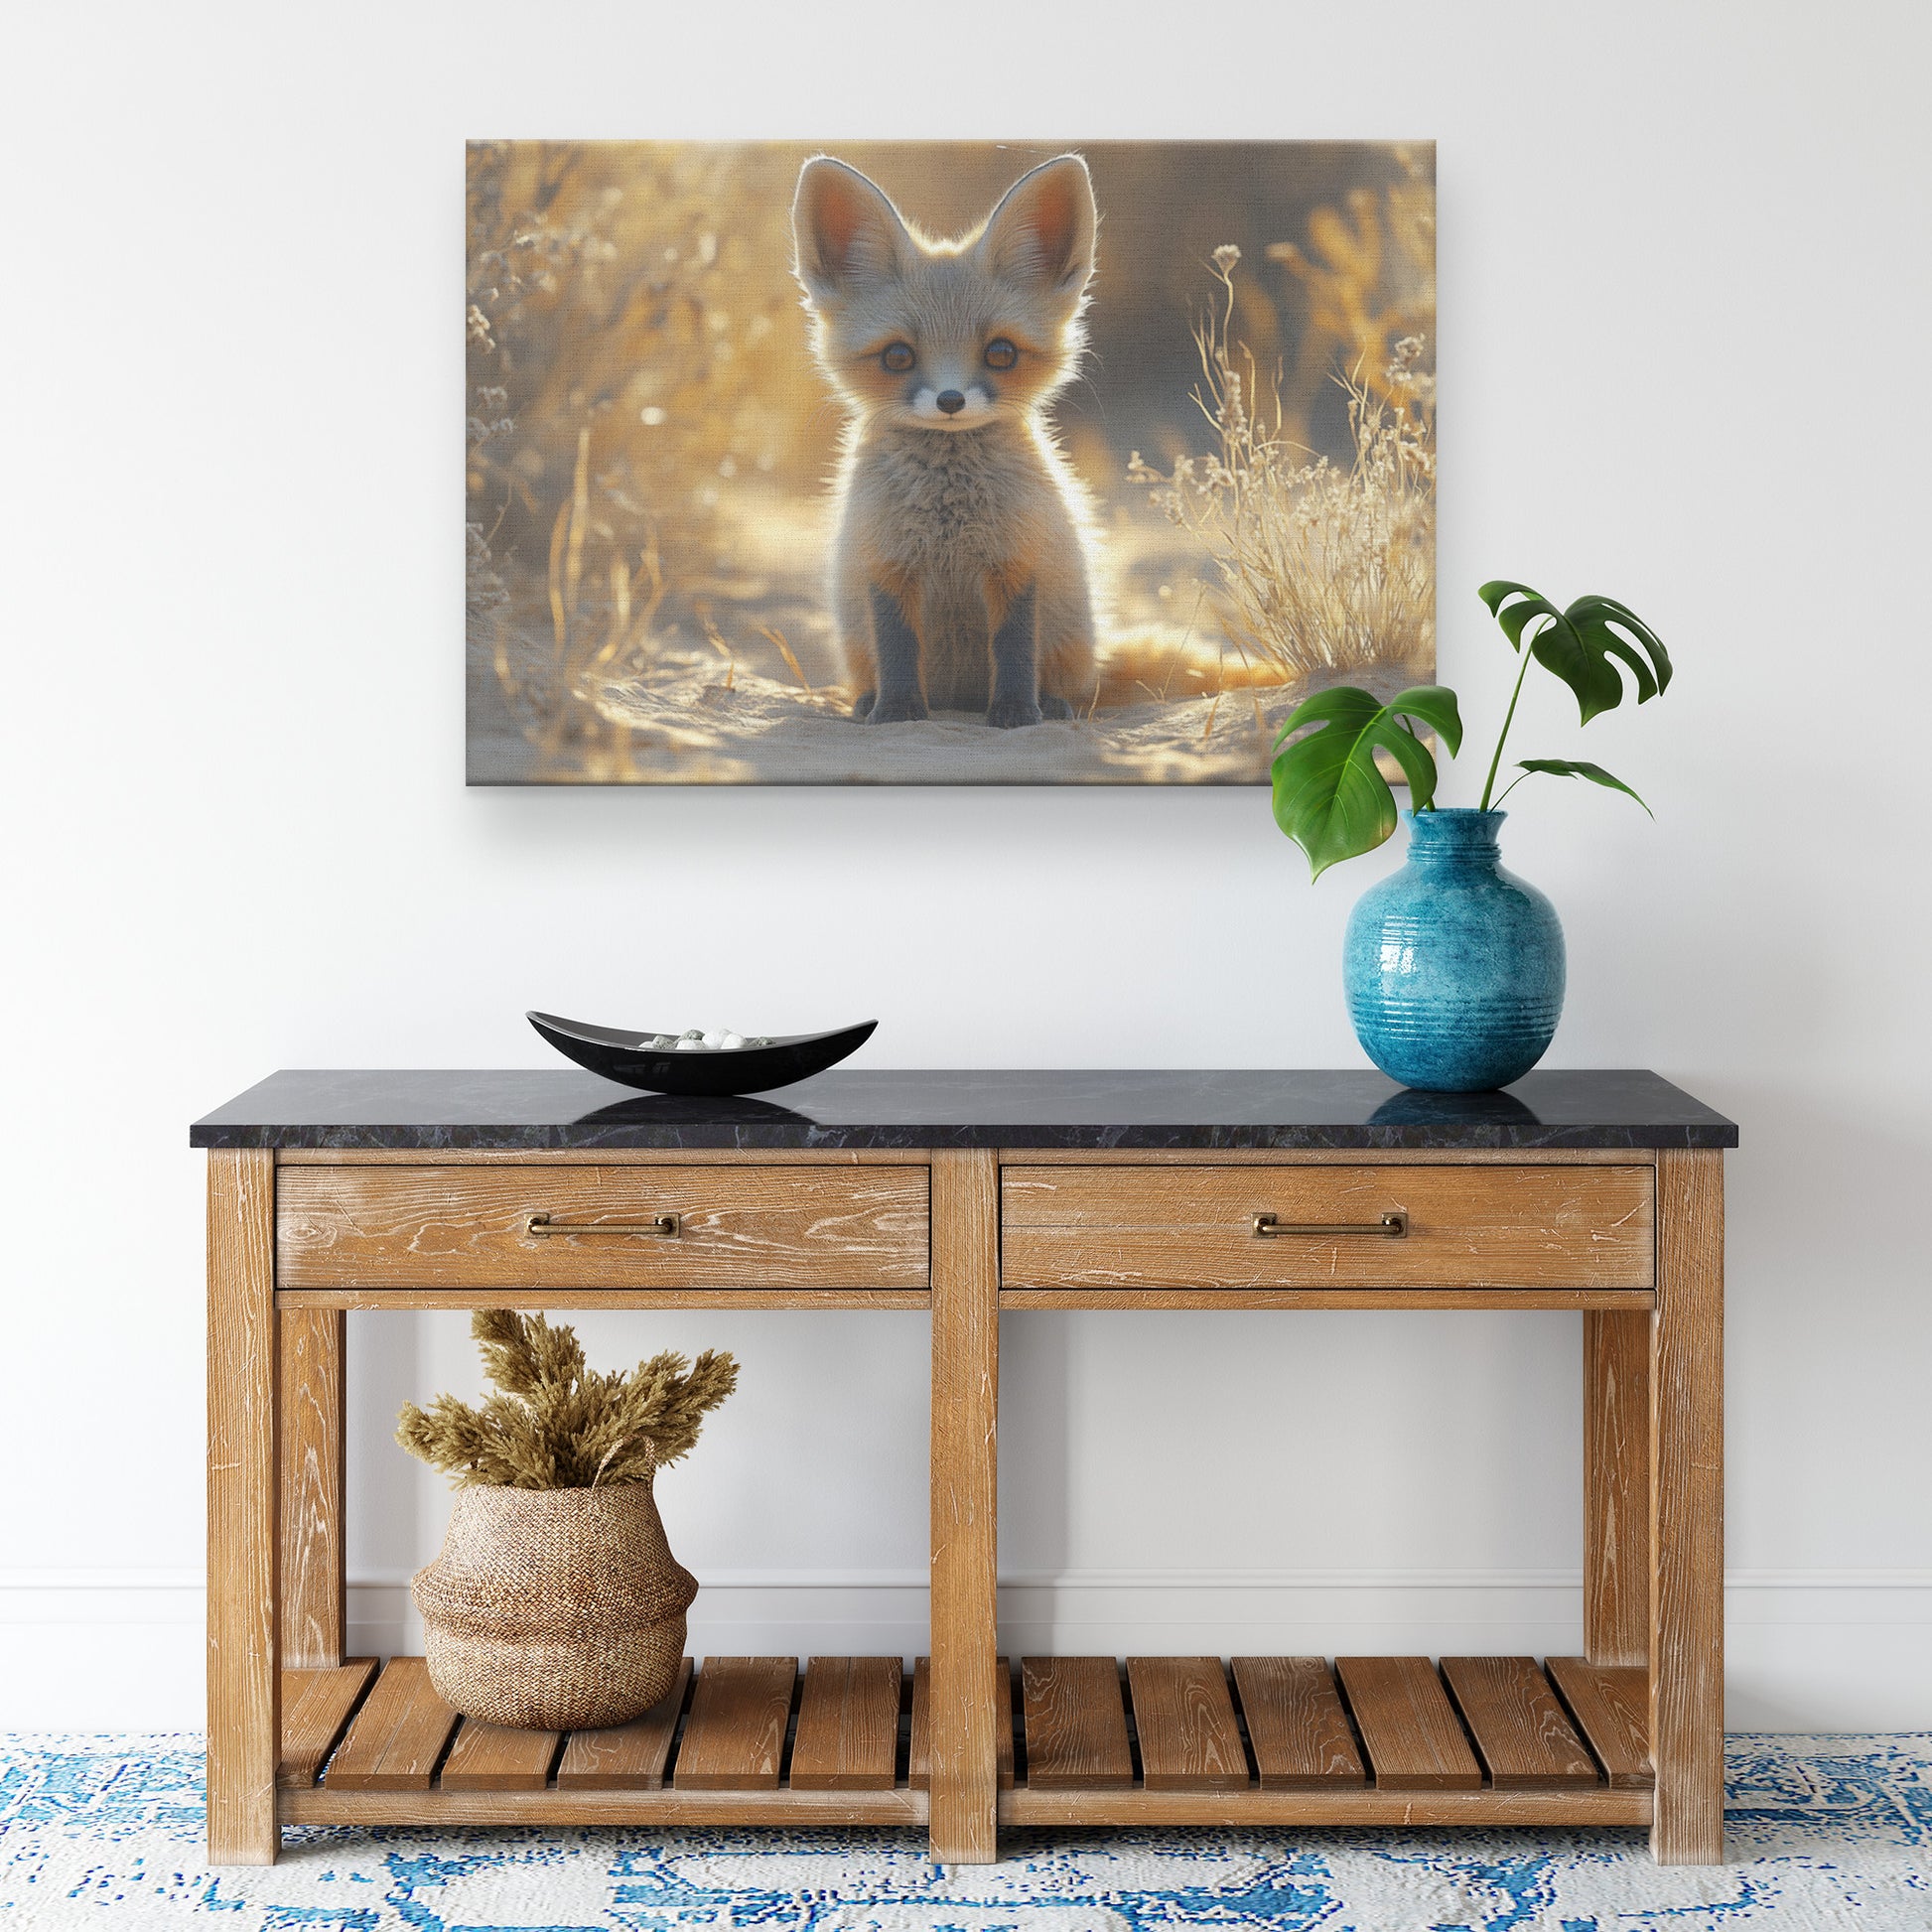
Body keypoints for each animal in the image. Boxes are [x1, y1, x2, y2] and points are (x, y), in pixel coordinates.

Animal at [791, 152, 1100, 727]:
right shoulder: (886, 559)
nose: (950, 400)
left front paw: (1017, 713)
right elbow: (896, 646)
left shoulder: (1016, 559)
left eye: (1001, 353)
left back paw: (1053, 703)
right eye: (898, 356)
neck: (948, 517)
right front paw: (895, 711)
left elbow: (1014, 648)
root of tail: (959, 698)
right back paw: (867, 701)